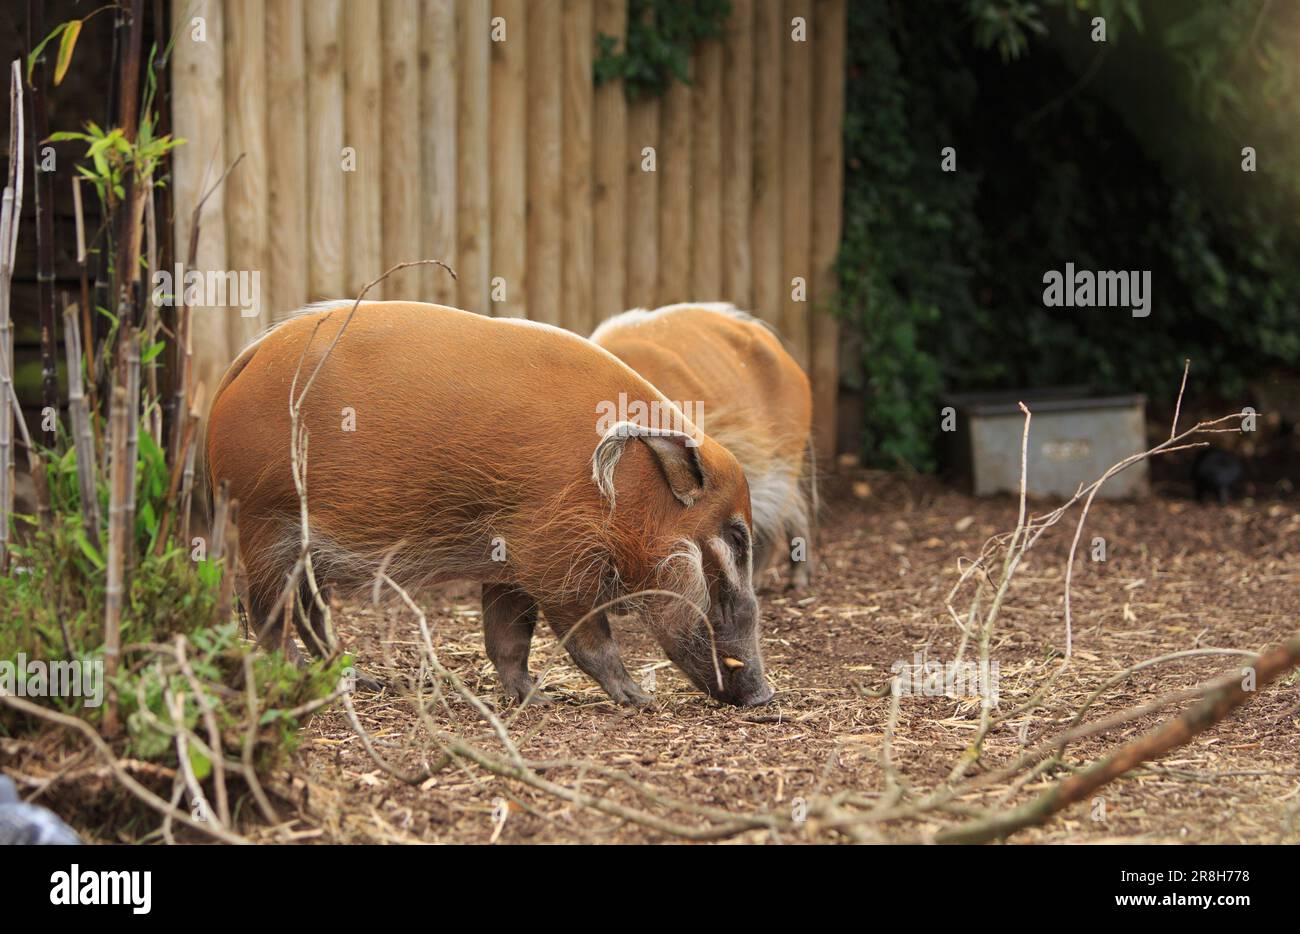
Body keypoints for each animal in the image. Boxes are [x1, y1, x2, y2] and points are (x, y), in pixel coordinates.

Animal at [206, 300, 773, 707]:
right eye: (735, 537)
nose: (765, 697)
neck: (627, 489)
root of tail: (241, 364)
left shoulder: (508, 565)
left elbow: (508, 640)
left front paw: (537, 699)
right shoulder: (553, 557)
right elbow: (586, 635)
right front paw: (638, 699)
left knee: (310, 612)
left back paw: (363, 680)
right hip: (263, 523)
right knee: (268, 613)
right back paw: (305, 678)